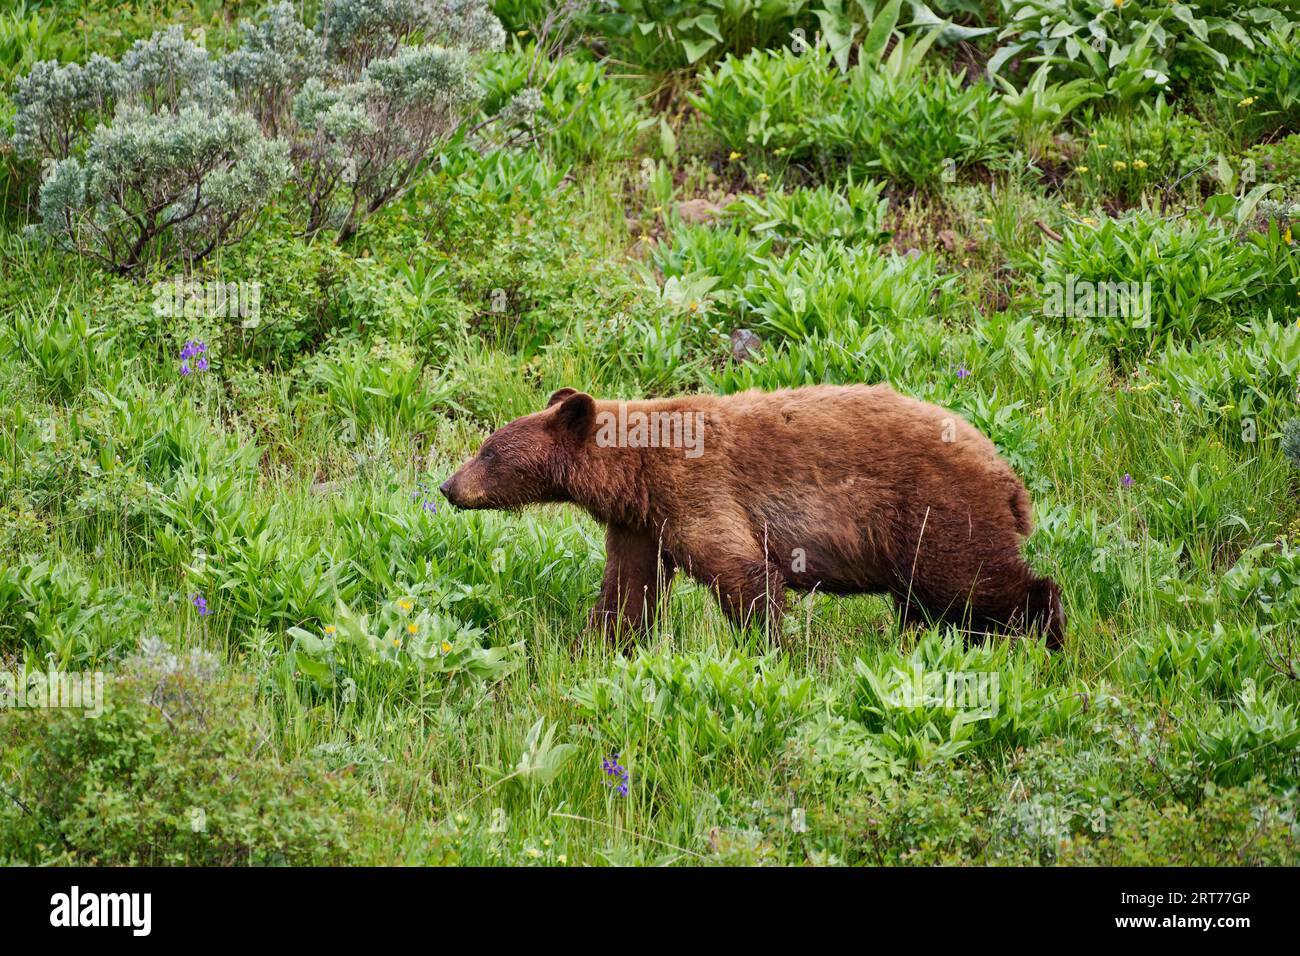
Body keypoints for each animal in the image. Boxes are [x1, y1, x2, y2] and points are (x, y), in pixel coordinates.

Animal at [439, 384, 1065, 649]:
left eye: (489, 452)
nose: (448, 487)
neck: (634, 472)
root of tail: (1010, 478)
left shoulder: (695, 489)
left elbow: (742, 572)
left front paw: (769, 651)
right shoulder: (641, 523)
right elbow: (628, 589)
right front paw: (594, 645)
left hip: (935, 509)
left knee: (972, 581)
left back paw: (1048, 634)